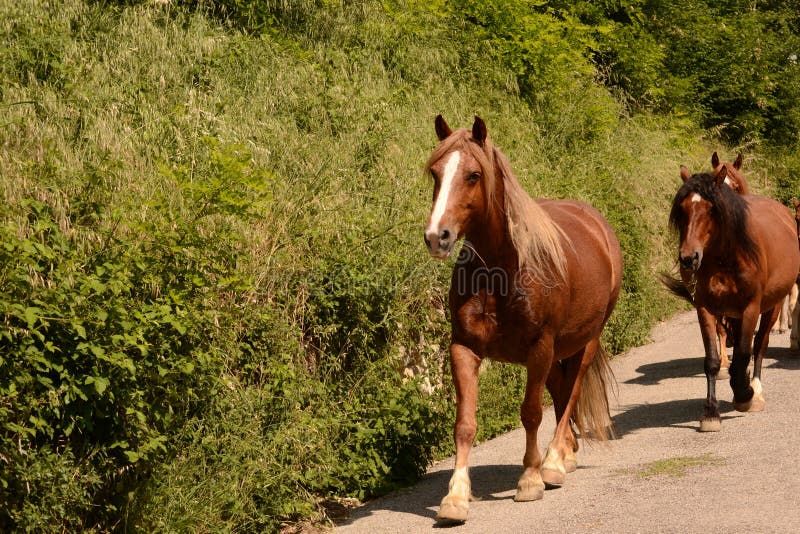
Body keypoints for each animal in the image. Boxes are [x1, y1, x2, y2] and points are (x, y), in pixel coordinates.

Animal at [423, 115, 622, 522]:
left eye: (473, 175)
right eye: (436, 172)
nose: (438, 236)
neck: (500, 271)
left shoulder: (539, 348)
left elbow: (530, 413)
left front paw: (530, 479)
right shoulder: (463, 349)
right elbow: (464, 425)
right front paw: (455, 497)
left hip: (585, 343)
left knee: (571, 391)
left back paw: (554, 462)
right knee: (561, 392)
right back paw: (565, 453)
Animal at [663, 166, 799, 432]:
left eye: (710, 209)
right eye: (682, 209)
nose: (688, 258)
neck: (725, 260)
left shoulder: (751, 308)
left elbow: (746, 353)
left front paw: (745, 395)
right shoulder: (706, 309)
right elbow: (713, 361)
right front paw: (710, 414)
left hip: (770, 307)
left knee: (759, 345)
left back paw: (755, 390)